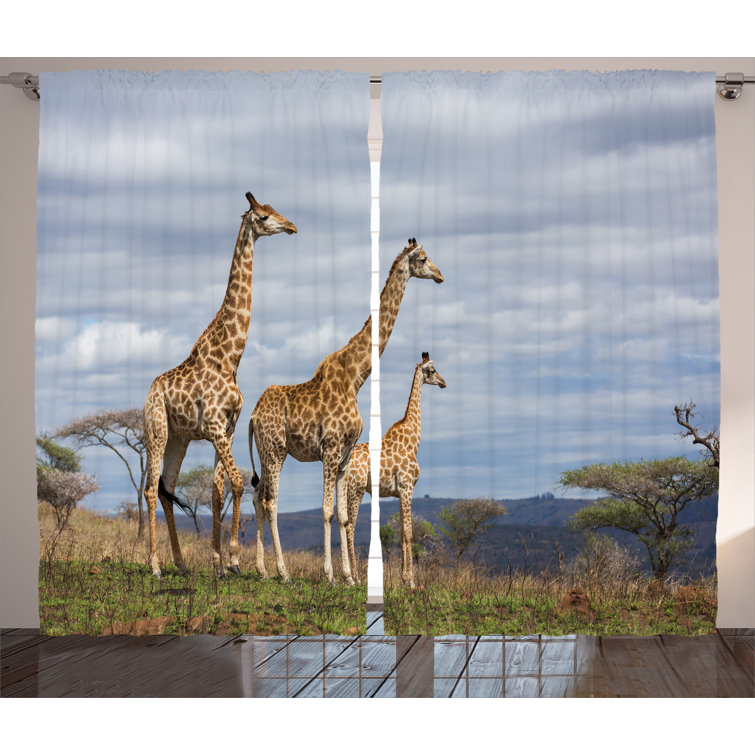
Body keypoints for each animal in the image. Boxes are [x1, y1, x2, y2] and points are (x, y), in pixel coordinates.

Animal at [142, 192, 297, 578]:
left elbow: (216, 491)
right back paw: (154, 565)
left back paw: (181, 564)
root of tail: (149, 392)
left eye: (275, 210)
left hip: (179, 439)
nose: (292, 226)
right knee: (151, 489)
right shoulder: (213, 425)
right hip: (156, 430)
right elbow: (239, 482)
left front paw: (218, 564)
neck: (229, 358)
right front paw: (234, 561)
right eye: (263, 216)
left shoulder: (226, 427)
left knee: (167, 488)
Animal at [344, 352, 446, 588]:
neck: (413, 440)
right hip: (356, 489)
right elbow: (409, 533)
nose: (444, 383)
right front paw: (411, 581)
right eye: (433, 370)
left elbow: (401, 532)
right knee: (350, 526)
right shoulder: (407, 486)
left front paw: (403, 577)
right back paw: (356, 577)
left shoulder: (399, 492)